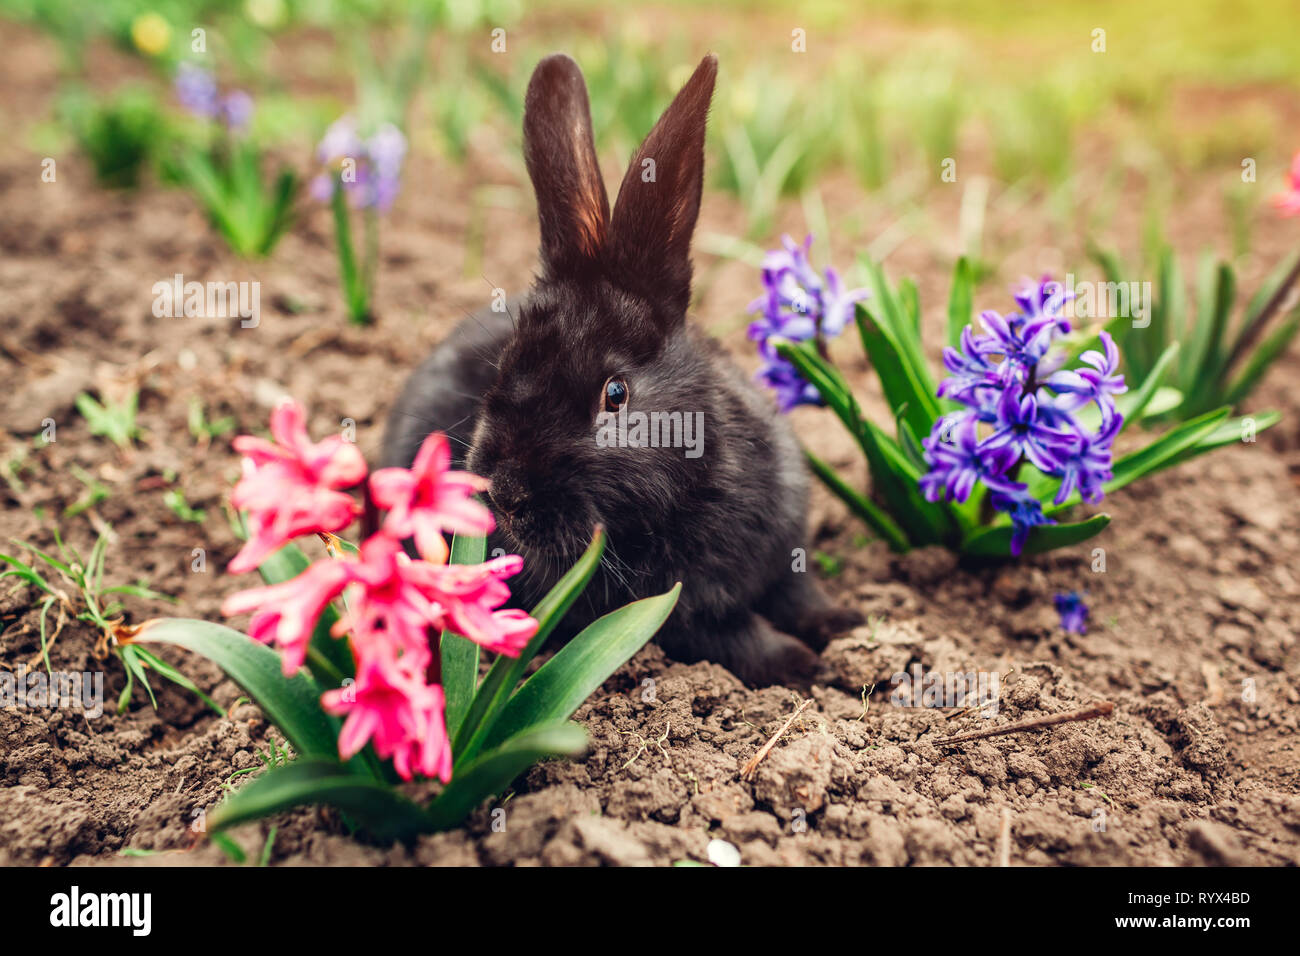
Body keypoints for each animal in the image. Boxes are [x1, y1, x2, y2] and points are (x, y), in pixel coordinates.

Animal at [383, 53, 861, 686]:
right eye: (505, 365)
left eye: (616, 394)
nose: (505, 495)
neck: (697, 483)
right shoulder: (685, 618)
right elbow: (741, 639)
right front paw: (804, 665)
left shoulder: (782, 557)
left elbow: (799, 596)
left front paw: (847, 627)